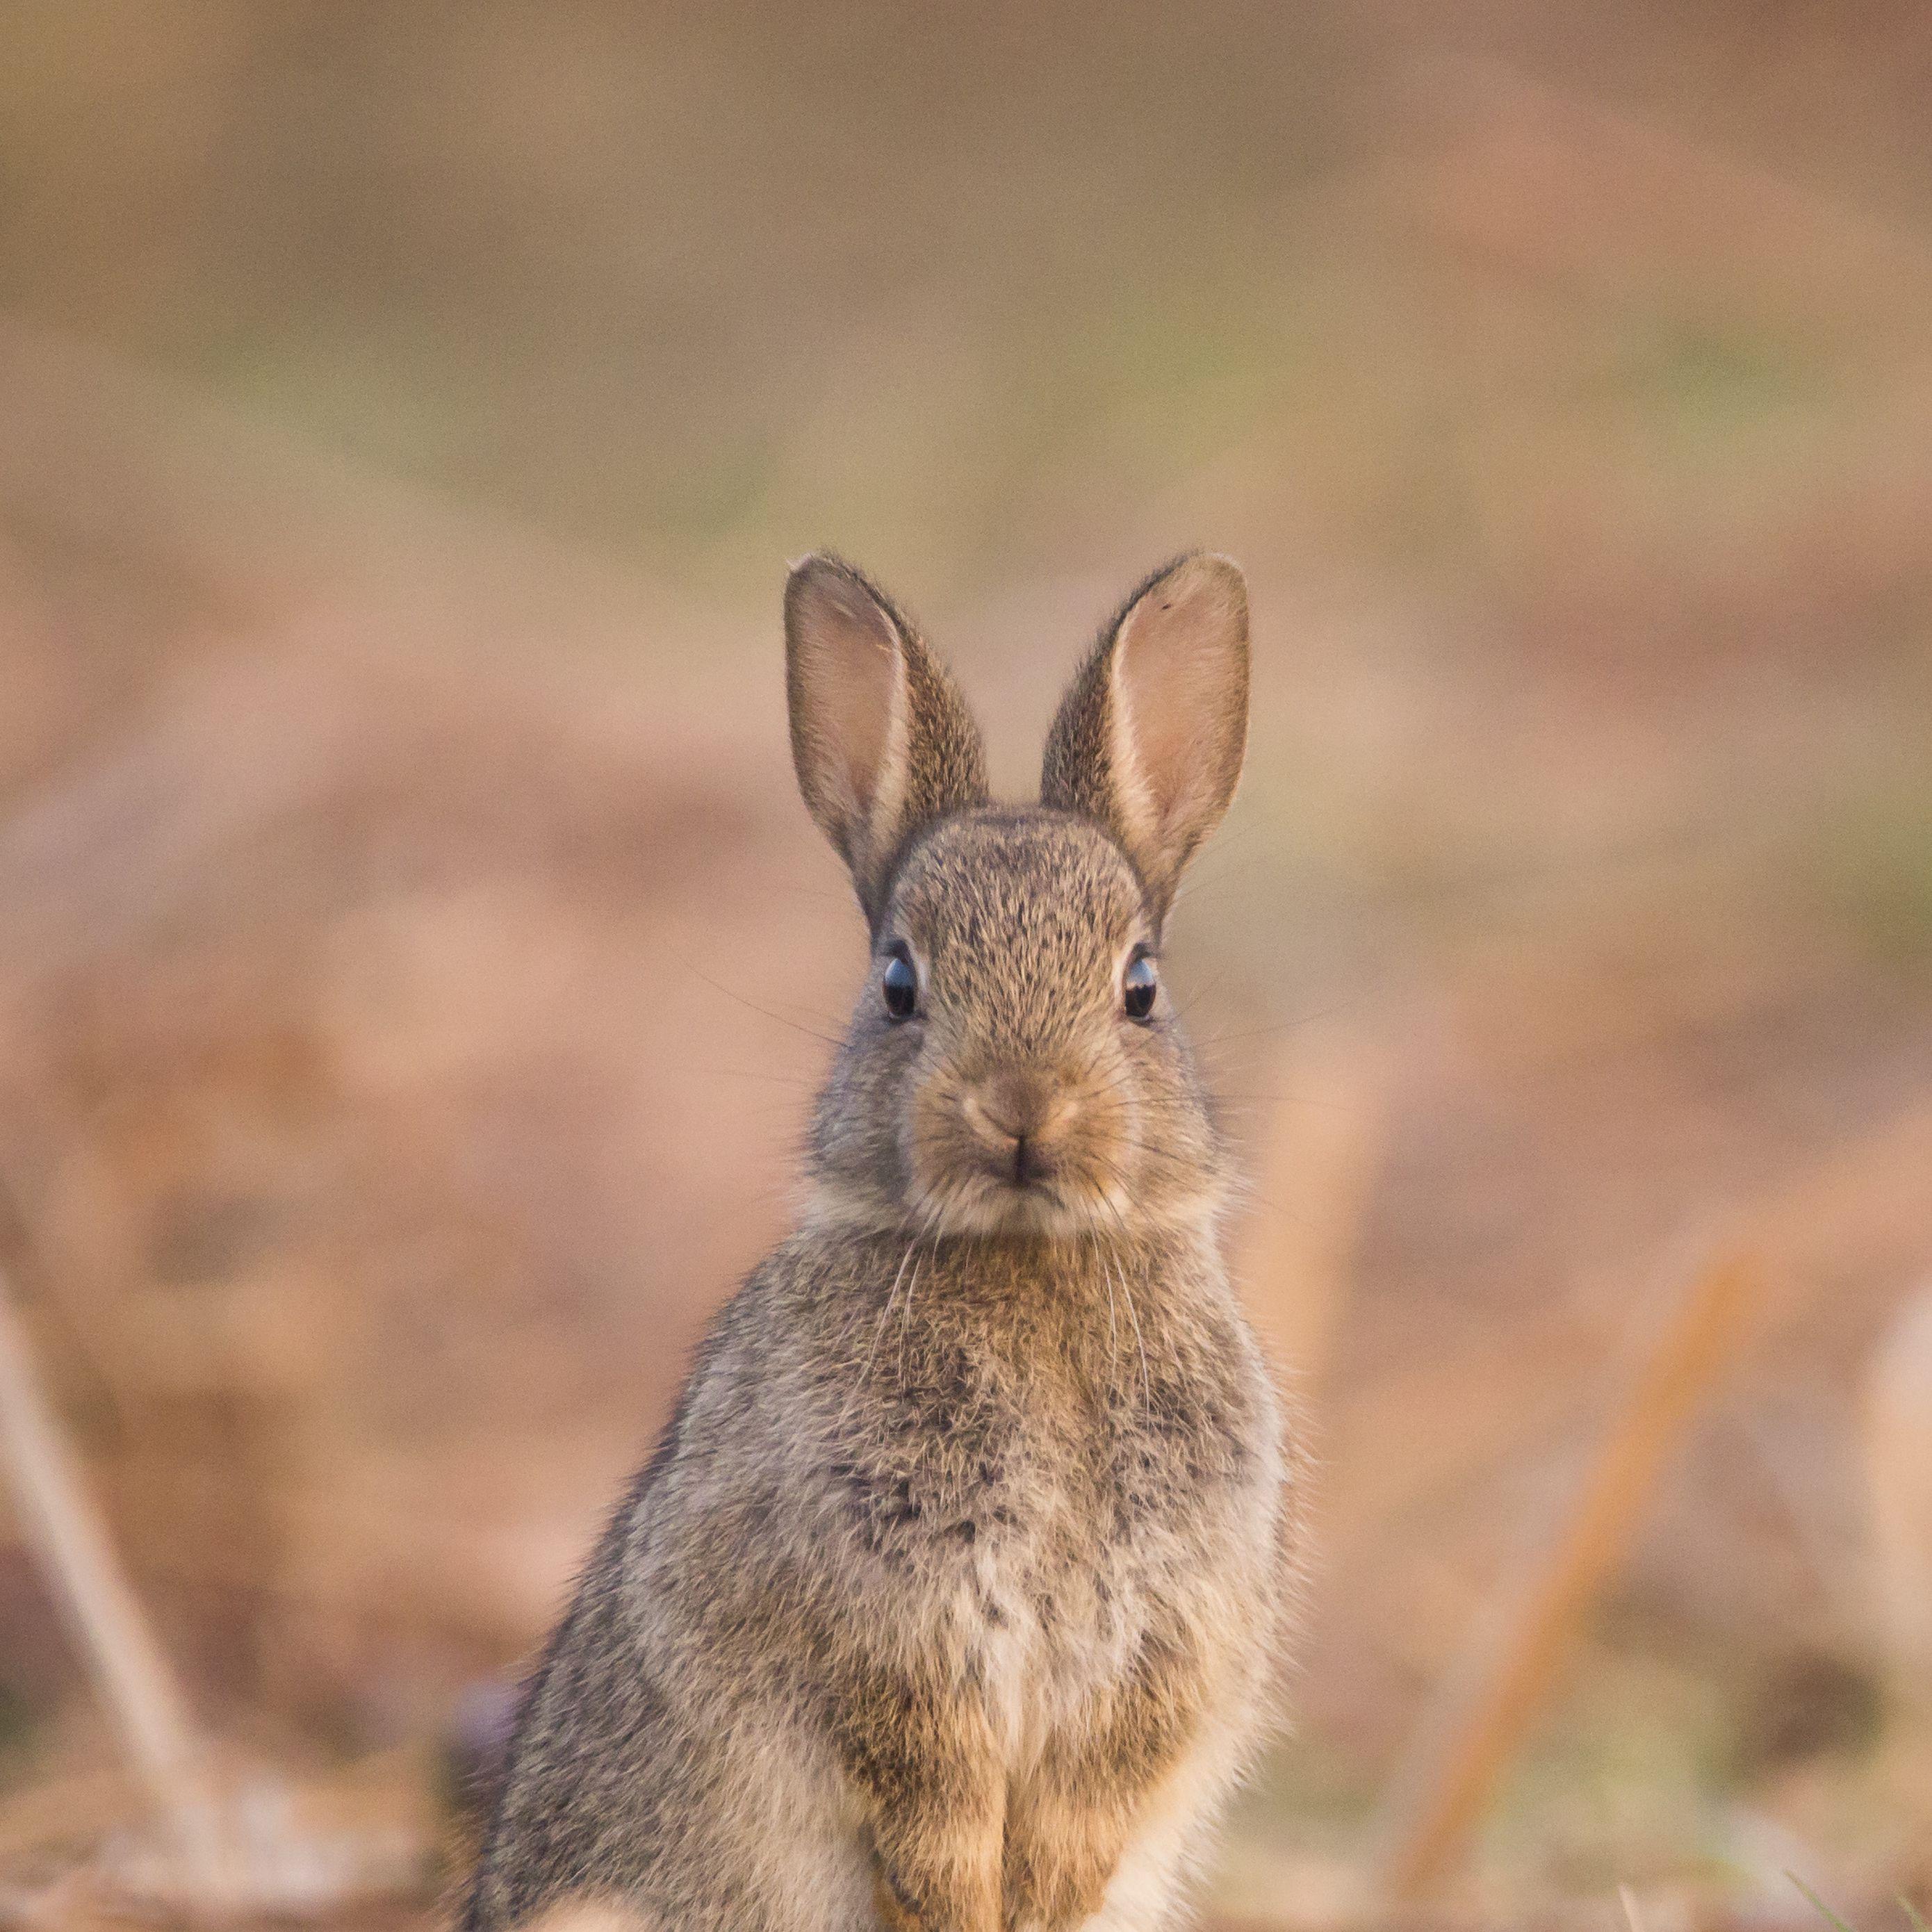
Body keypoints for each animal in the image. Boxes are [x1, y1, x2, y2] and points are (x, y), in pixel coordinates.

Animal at [463, 552, 1303, 1932]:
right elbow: (927, 1784)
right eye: (900, 986)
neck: (1027, 1258)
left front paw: (1044, 1900)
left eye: (1139, 988)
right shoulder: (877, 1622)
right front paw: (962, 1904)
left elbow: (1101, 1782)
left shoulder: (1168, 1627)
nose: (1023, 1108)